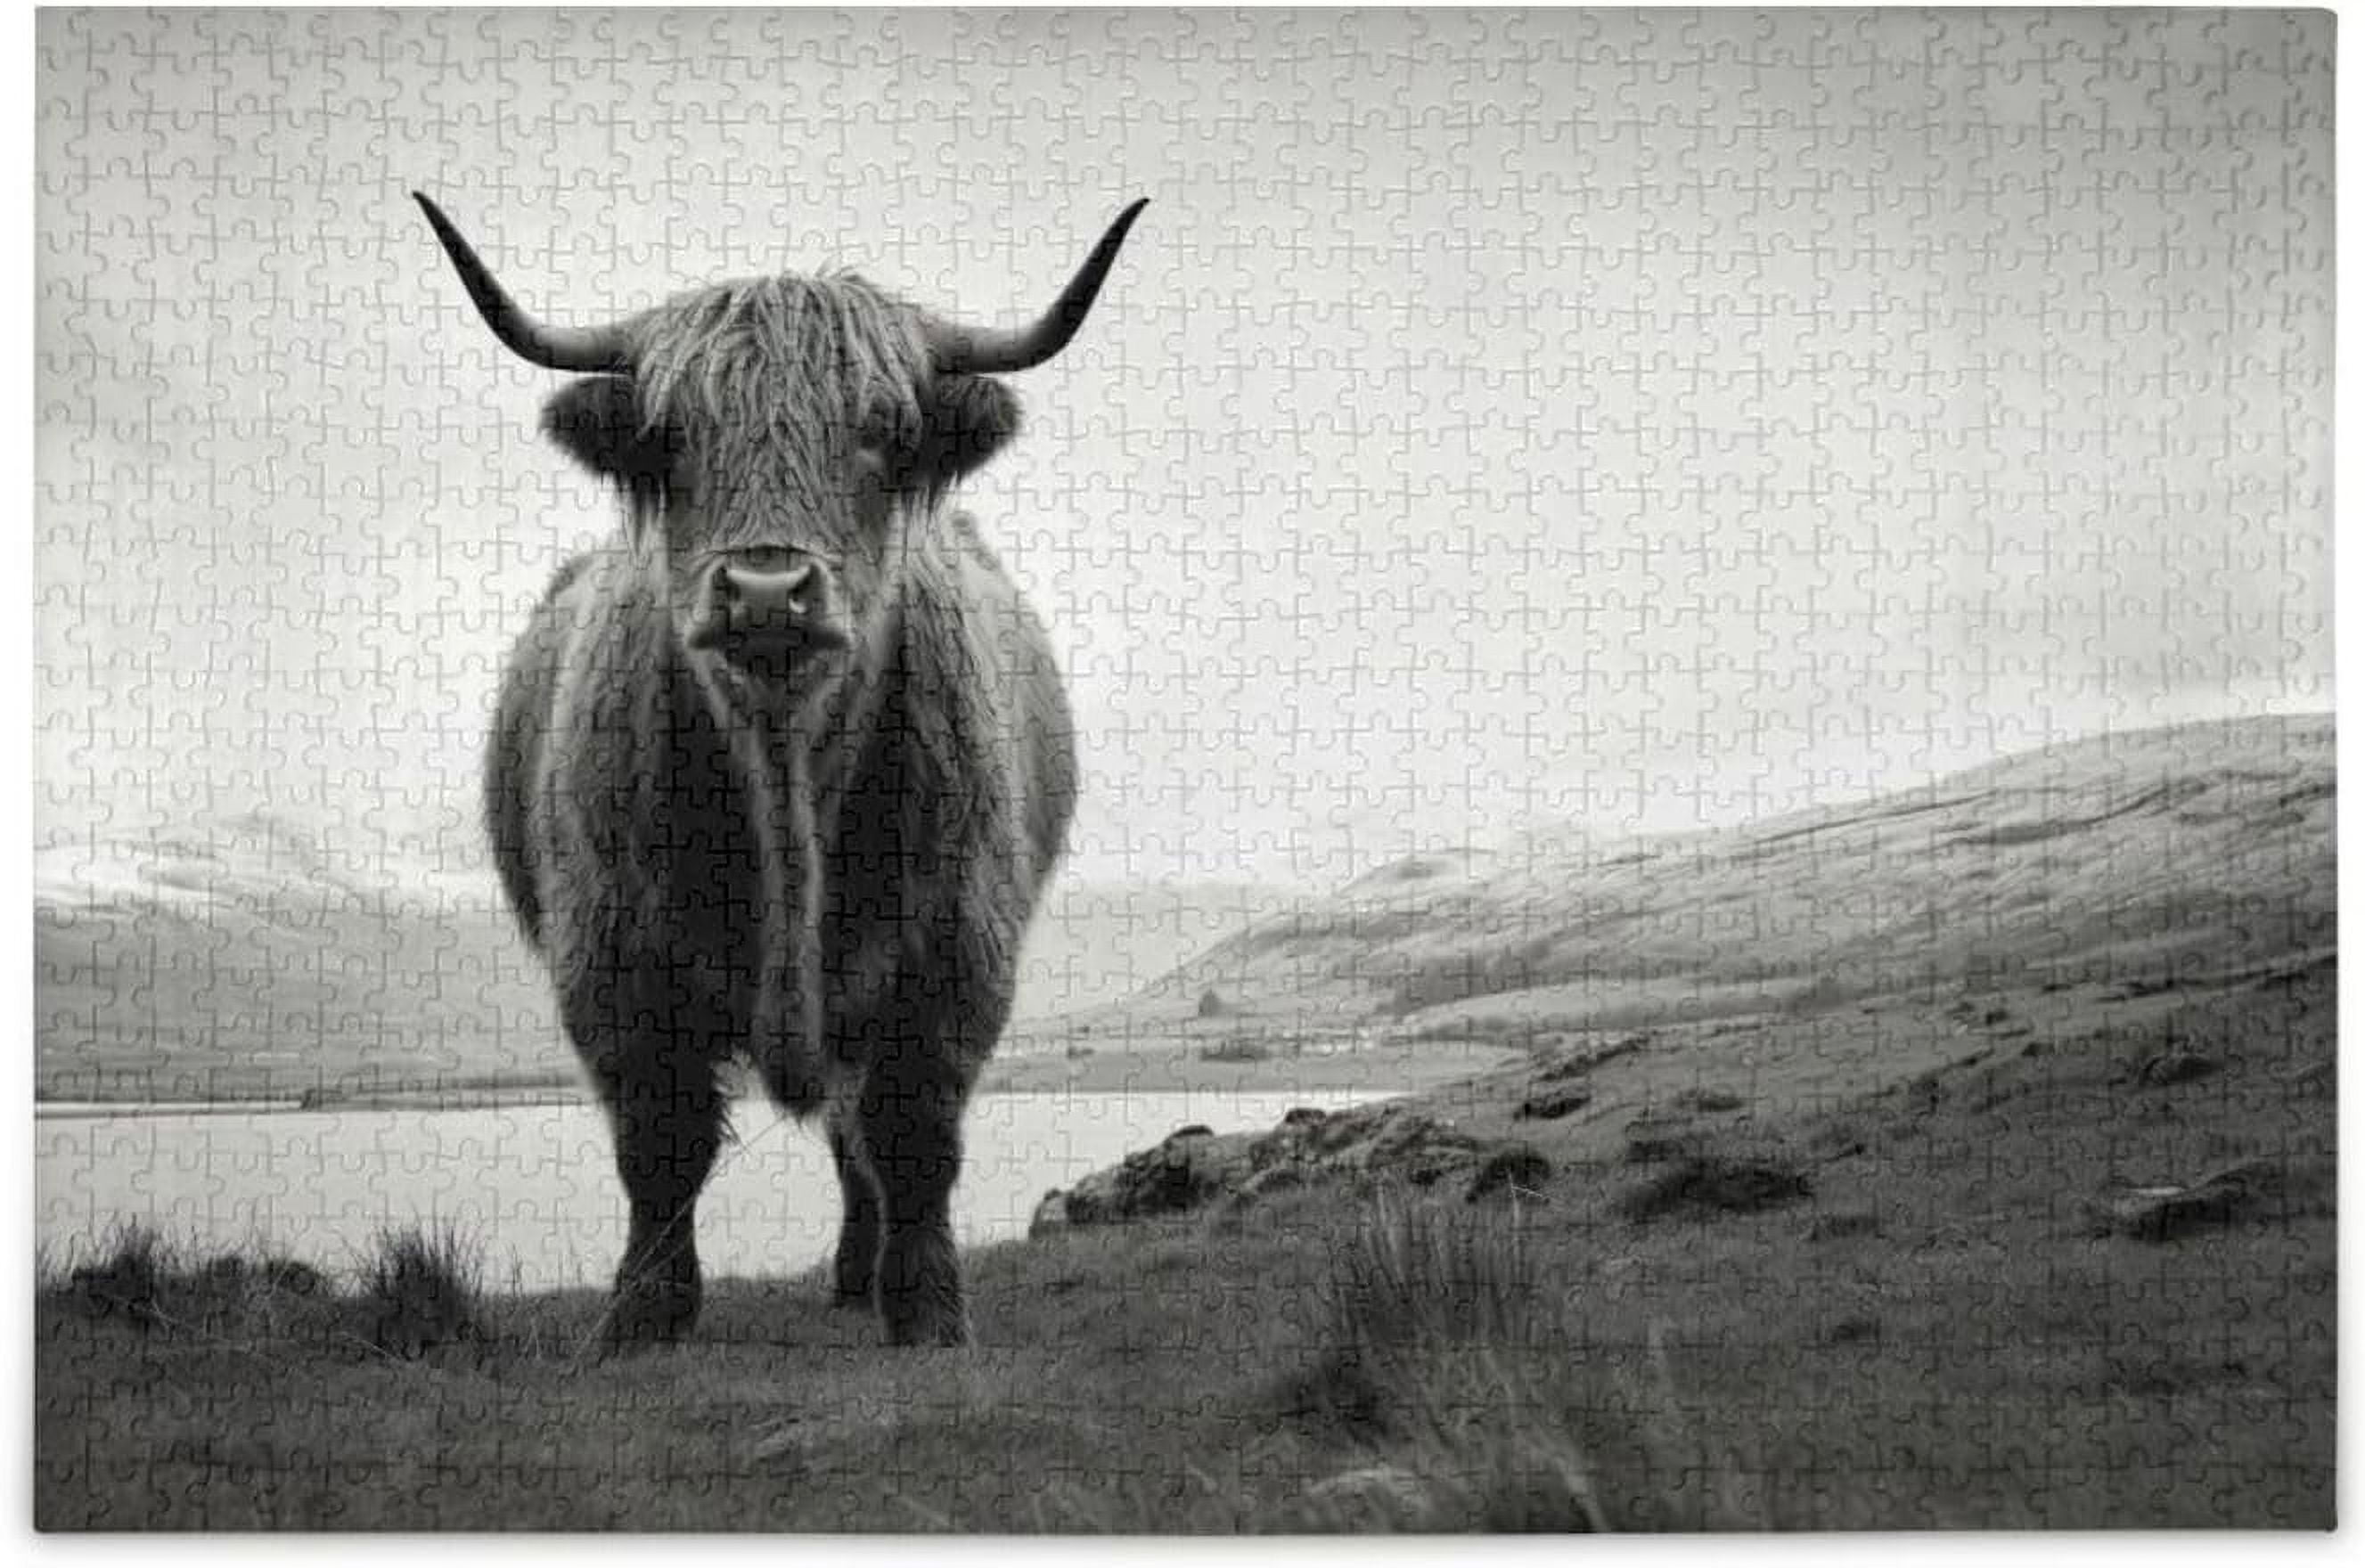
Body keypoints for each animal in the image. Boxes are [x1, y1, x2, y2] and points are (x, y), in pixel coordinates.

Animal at [415, 192, 1146, 1348]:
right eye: (671, 439)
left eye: (880, 432)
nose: (766, 592)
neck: (785, 762)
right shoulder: (613, 961)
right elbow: (658, 1147)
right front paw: (642, 1318)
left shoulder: (952, 952)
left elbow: (913, 1135)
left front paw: (928, 1312)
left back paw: (860, 1272)